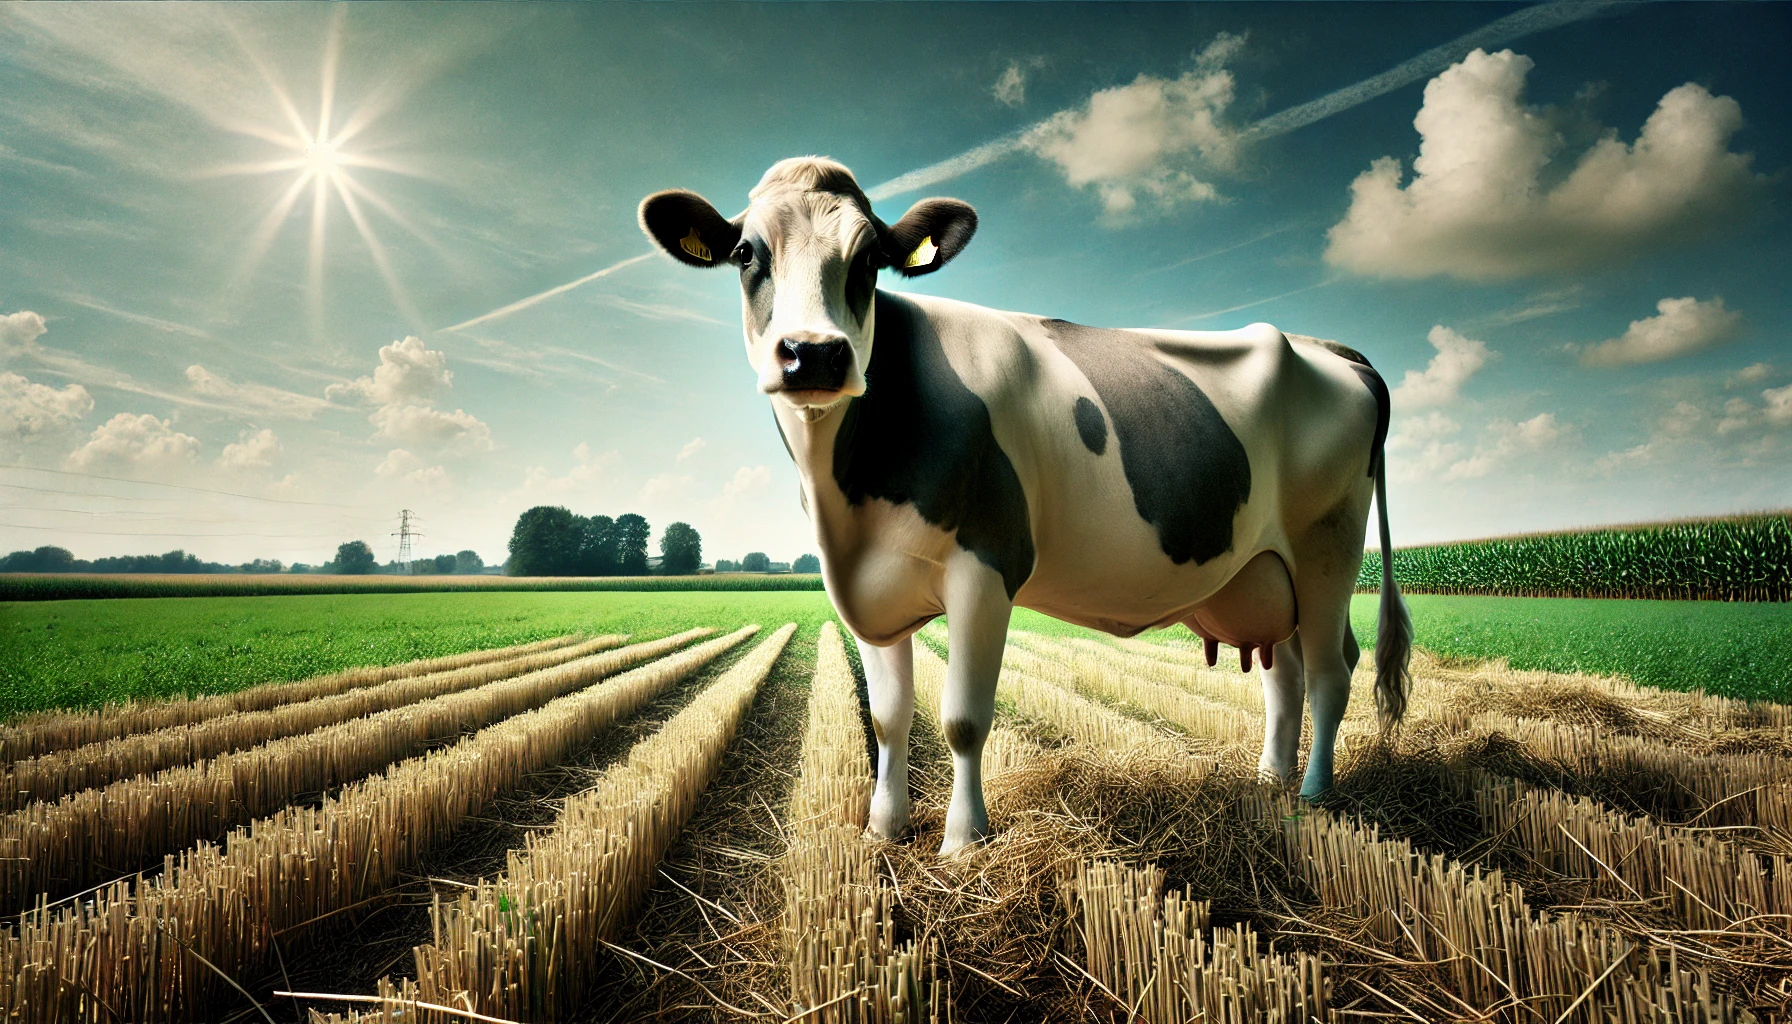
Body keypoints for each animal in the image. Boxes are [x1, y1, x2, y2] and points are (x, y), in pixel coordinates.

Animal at [640, 157, 1412, 856]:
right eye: (747, 253)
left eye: (870, 259)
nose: (814, 354)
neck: (849, 492)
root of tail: (1325, 347)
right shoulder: (869, 588)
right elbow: (889, 718)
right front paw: (884, 831)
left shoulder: (986, 566)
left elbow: (962, 719)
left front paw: (963, 842)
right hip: (1266, 569)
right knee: (1285, 675)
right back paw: (1269, 781)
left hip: (1327, 547)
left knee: (1331, 670)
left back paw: (1314, 795)